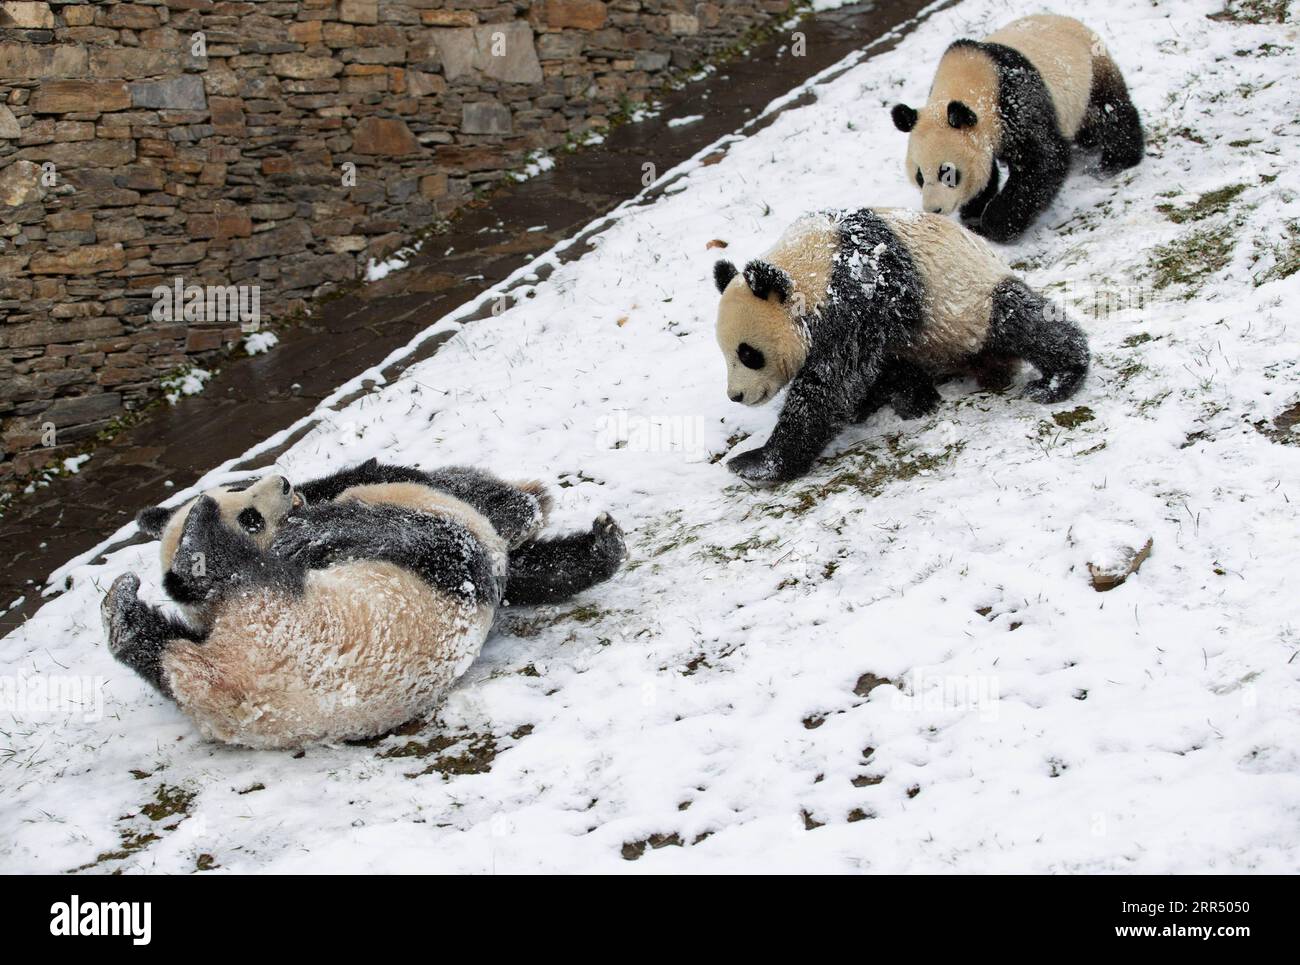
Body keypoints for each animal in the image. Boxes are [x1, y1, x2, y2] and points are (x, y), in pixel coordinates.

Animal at [104, 461, 626, 748]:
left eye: (238, 486)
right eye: (250, 516)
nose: (282, 482)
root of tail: (216, 677)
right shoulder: (449, 558)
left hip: (195, 656)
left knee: (156, 648)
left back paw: (125, 613)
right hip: (280, 618)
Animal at [714, 207, 1088, 483]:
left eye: (748, 354)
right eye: (724, 353)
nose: (736, 395)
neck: (816, 263)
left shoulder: (860, 295)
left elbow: (829, 385)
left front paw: (757, 462)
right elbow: (871, 367)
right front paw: (911, 399)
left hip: (976, 303)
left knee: (1023, 321)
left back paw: (1061, 378)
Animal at [890, 14, 1143, 242]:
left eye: (947, 172)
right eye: (920, 176)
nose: (934, 209)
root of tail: (1068, 19)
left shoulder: (1018, 103)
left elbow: (1044, 160)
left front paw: (994, 224)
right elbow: (987, 170)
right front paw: (974, 212)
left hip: (1092, 70)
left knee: (1110, 111)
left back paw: (1117, 160)